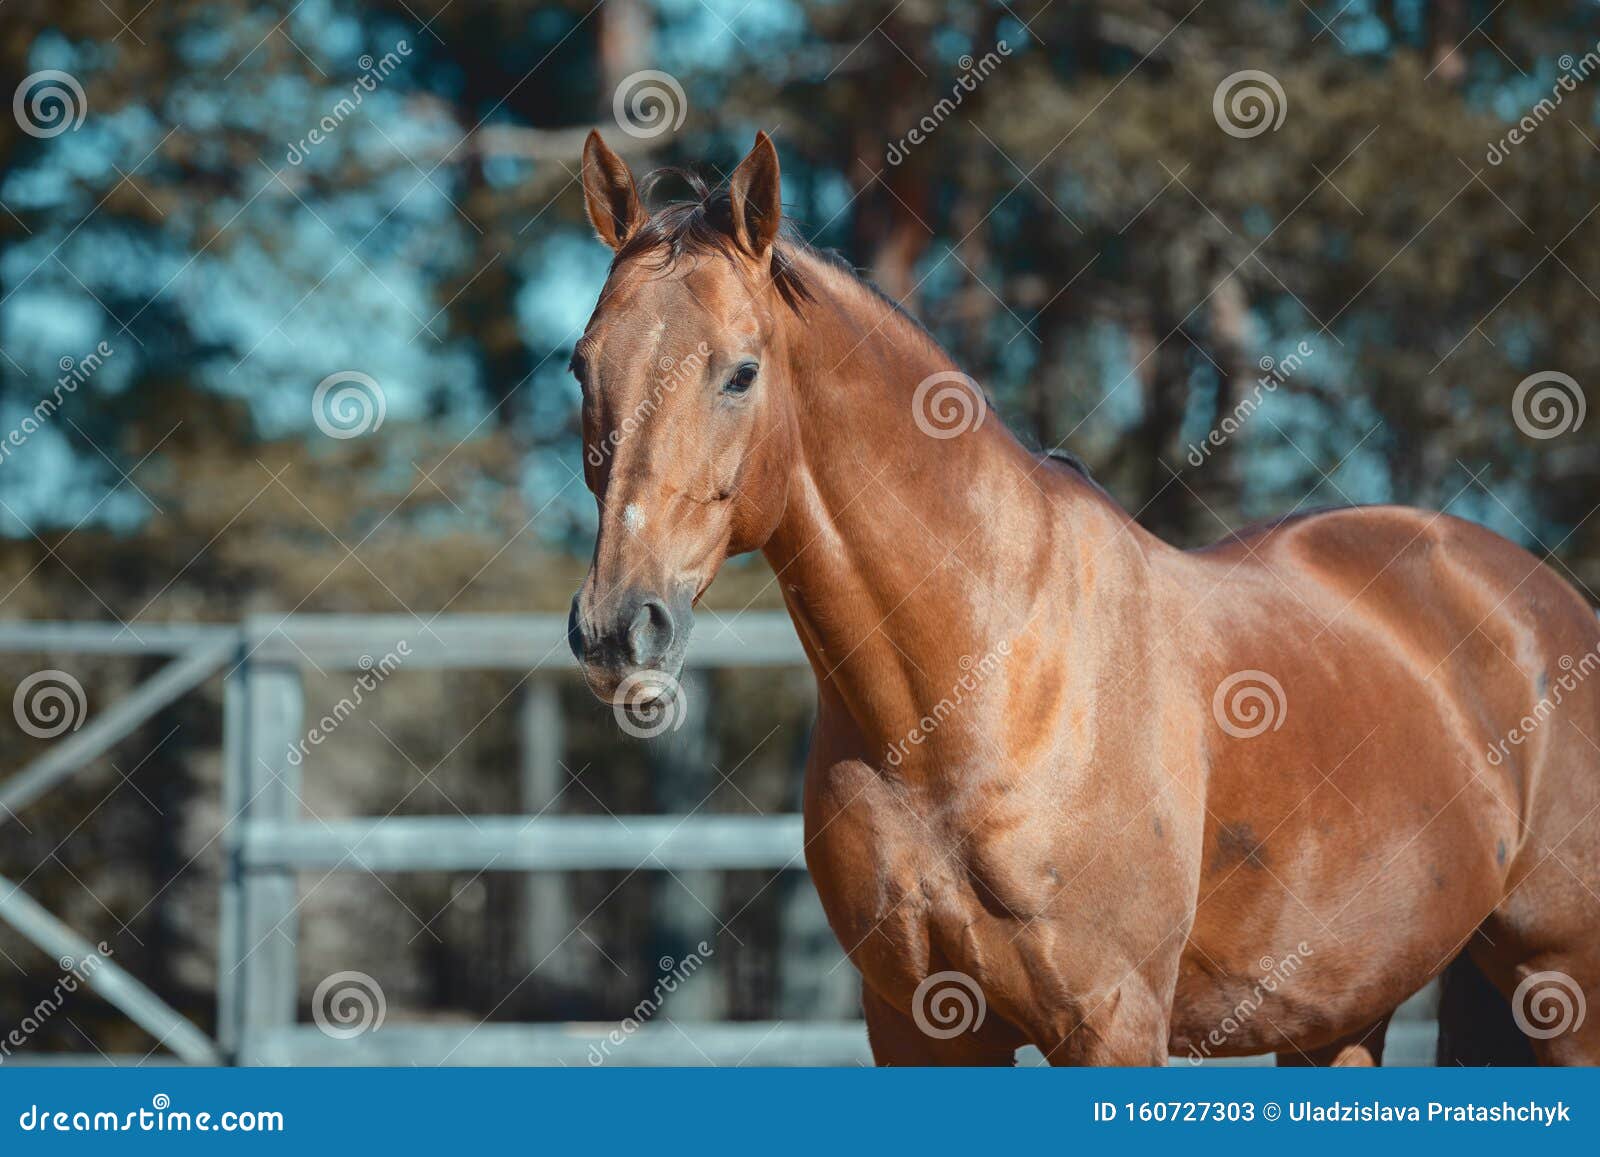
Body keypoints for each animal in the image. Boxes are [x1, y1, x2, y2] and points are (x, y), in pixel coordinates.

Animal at [565, 130, 1600, 1066]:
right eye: (582, 365)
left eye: (741, 372)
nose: (619, 626)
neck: (973, 694)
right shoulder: (919, 1025)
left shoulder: (1112, 1021)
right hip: (1343, 1011)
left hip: (1562, 987)